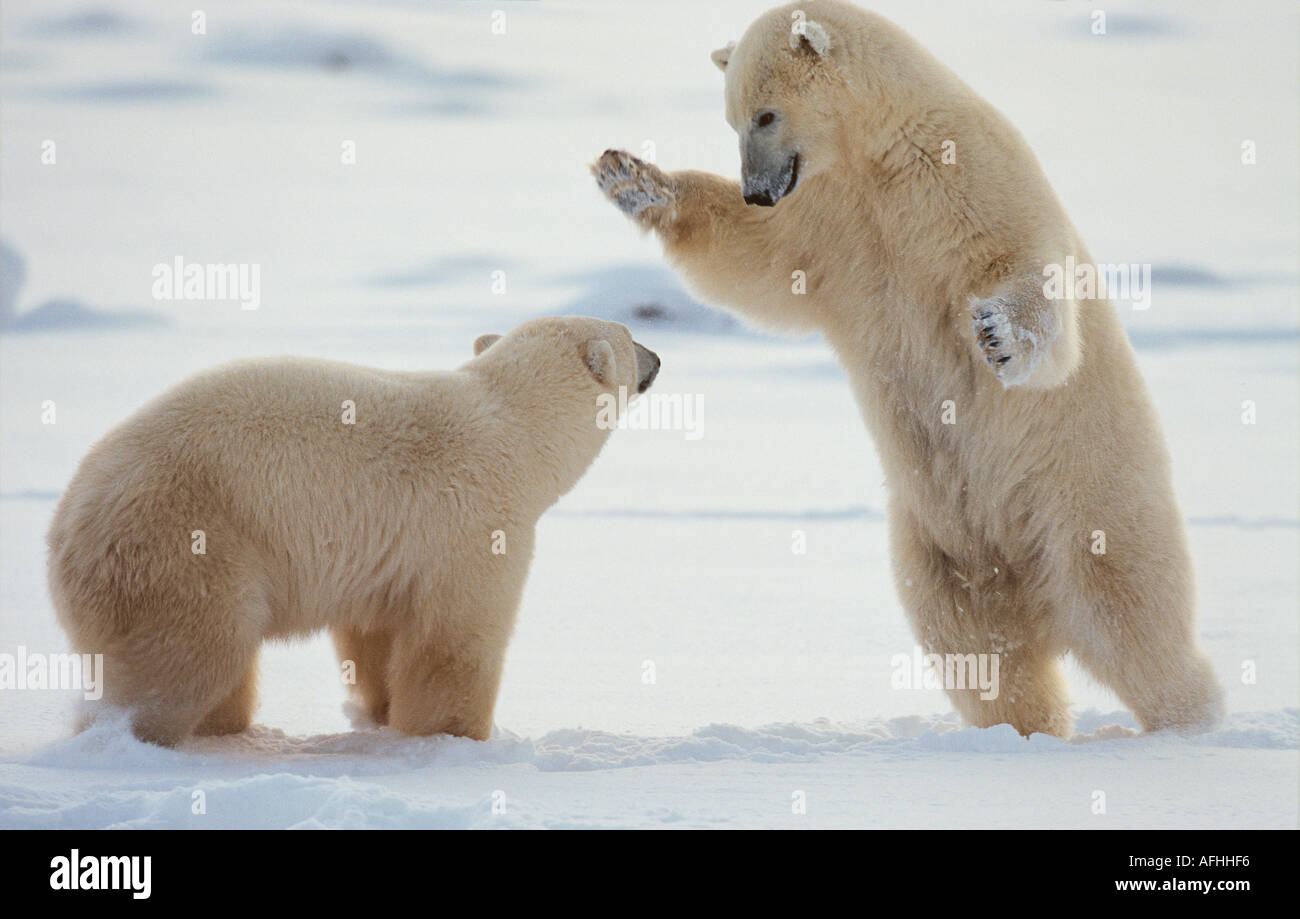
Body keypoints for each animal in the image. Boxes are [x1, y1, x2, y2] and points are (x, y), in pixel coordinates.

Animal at [46, 316, 660, 746]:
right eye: (630, 335)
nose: (658, 356)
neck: (517, 426)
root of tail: (66, 527)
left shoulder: (387, 546)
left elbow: (374, 633)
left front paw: (382, 713)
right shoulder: (475, 521)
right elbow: (456, 640)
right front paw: (456, 737)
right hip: (184, 544)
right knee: (185, 659)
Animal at [593, 0, 1222, 738]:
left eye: (766, 115)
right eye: (732, 118)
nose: (756, 191)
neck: (879, 155)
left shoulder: (969, 177)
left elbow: (1029, 269)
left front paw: (997, 337)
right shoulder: (832, 219)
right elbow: (760, 265)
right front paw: (629, 176)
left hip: (1086, 500)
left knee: (1128, 614)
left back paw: (1189, 718)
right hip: (938, 545)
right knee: (979, 648)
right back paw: (1020, 729)